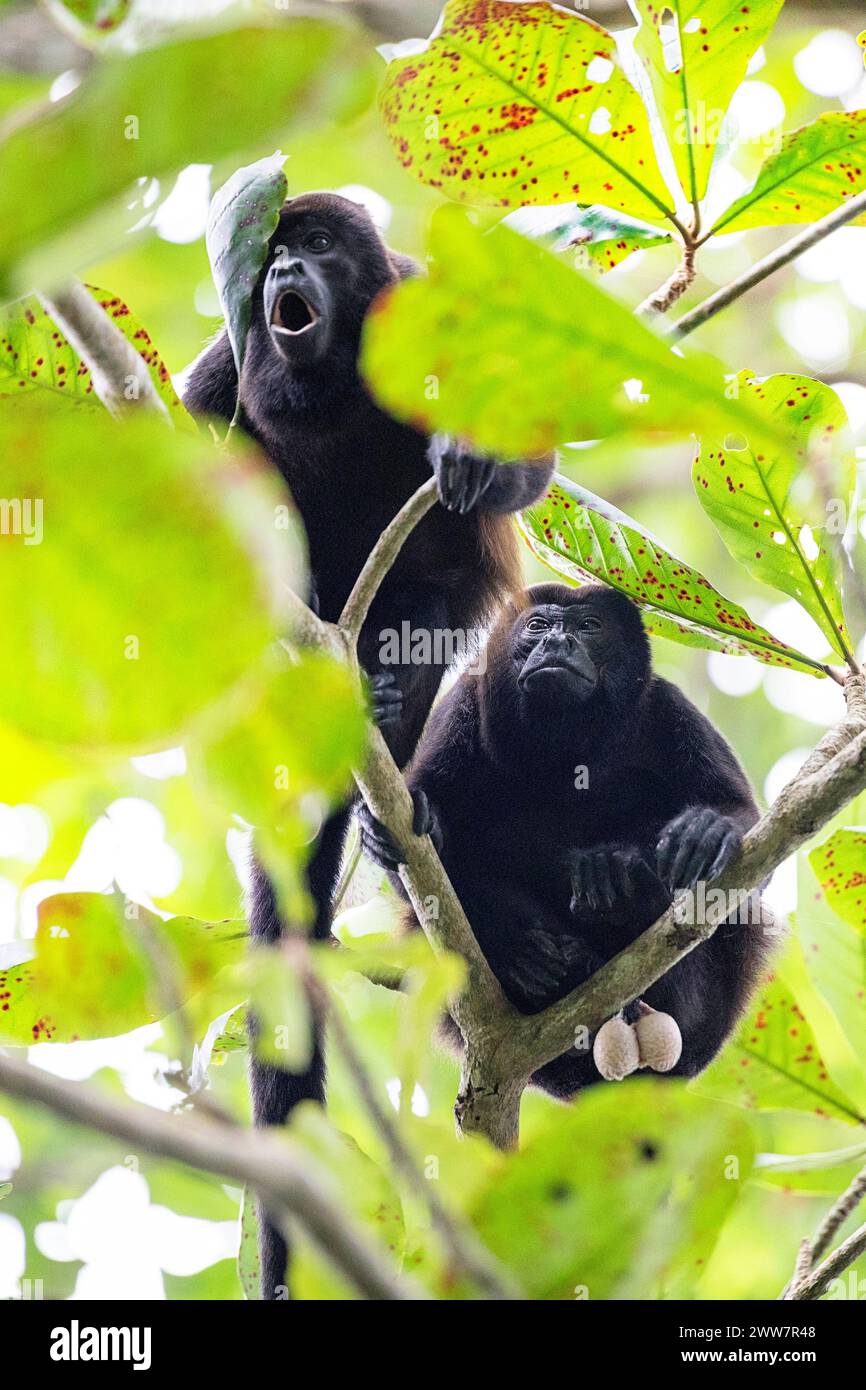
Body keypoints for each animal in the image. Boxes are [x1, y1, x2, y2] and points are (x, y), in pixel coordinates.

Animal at [183, 191, 553, 1294]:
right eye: (270, 245)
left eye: (318, 246)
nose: (279, 271)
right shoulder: (226, 360)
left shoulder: (425, 307)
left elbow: (522, 453)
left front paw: (473, 460)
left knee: (421, 621)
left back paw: (394, 762)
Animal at [359, 581, 773, 1097]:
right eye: (538, 626)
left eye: (589, 626)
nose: (557, 642)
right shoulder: (462, 706)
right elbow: (420, 881)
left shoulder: (669, 708)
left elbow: (747, 840)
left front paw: (705, 833)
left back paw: (617, 887)